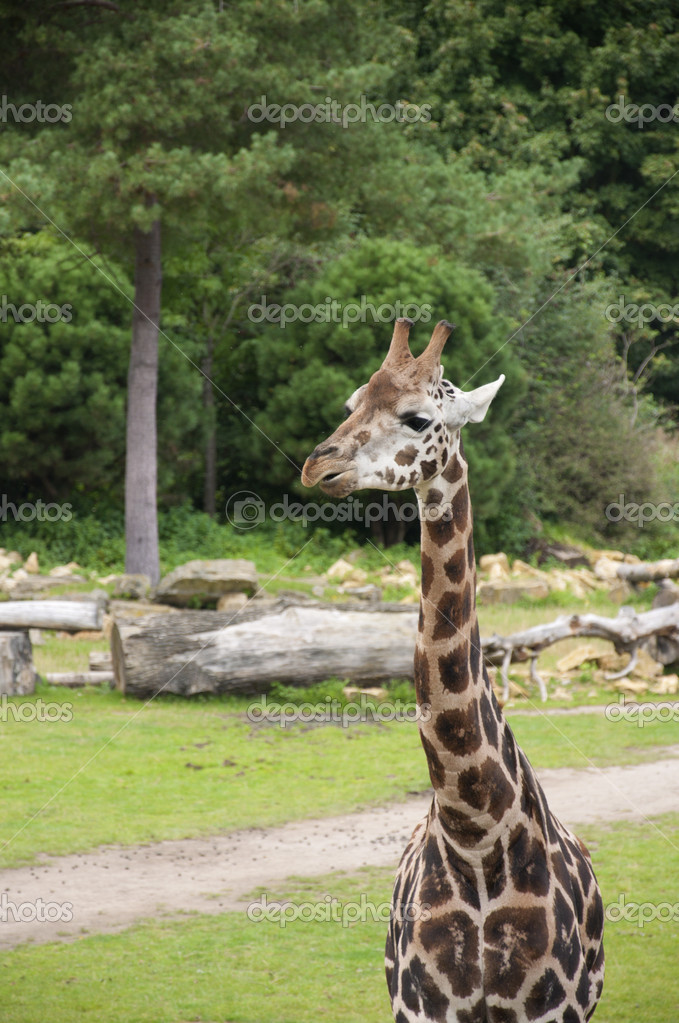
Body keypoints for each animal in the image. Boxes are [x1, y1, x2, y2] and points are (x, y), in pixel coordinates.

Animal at [301, 318, 605, 1023]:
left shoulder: (552, 1010)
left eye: (418, 418)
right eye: (352, 401)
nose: (318, 465)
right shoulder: (422, 1007)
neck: (476, 835)